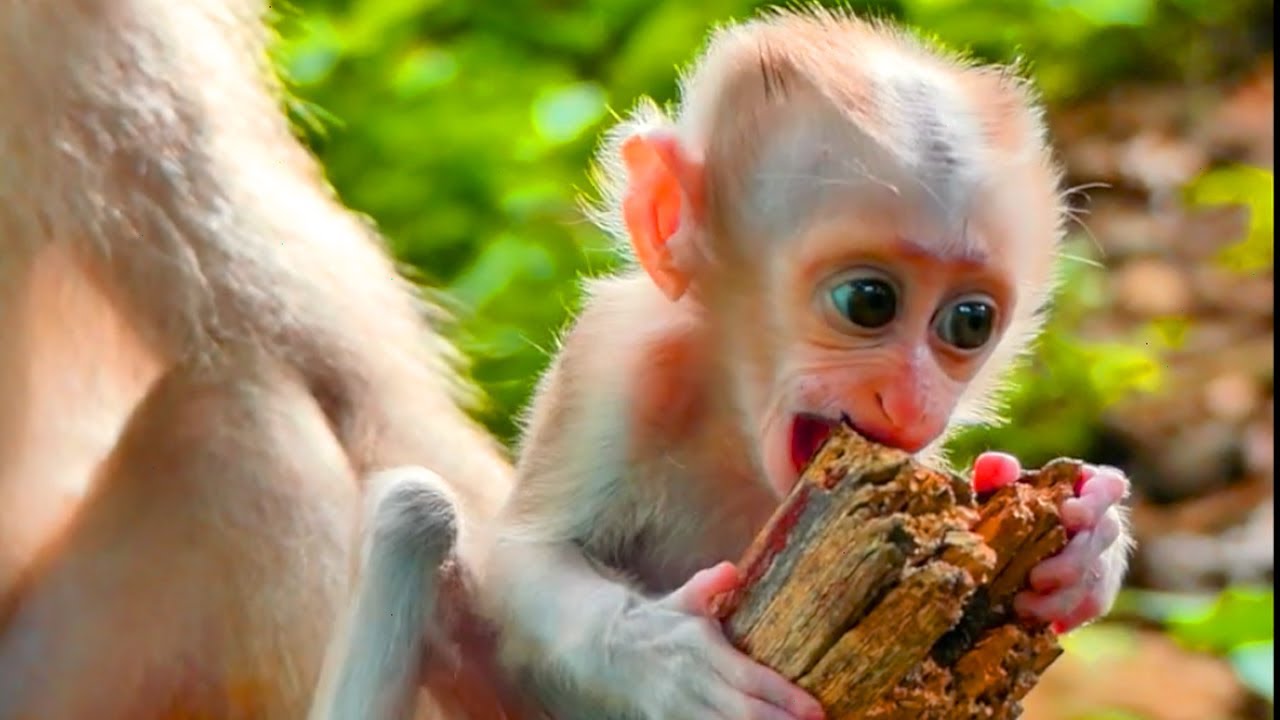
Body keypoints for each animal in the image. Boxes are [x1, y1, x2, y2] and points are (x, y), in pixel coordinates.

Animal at [474, 8, 1135, 720]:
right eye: (868, 301)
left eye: (970, 321)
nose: (912, 404)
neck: (734, 422)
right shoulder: (616, 365)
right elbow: (522, 565)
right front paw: (671, 660)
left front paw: (1087, 548)